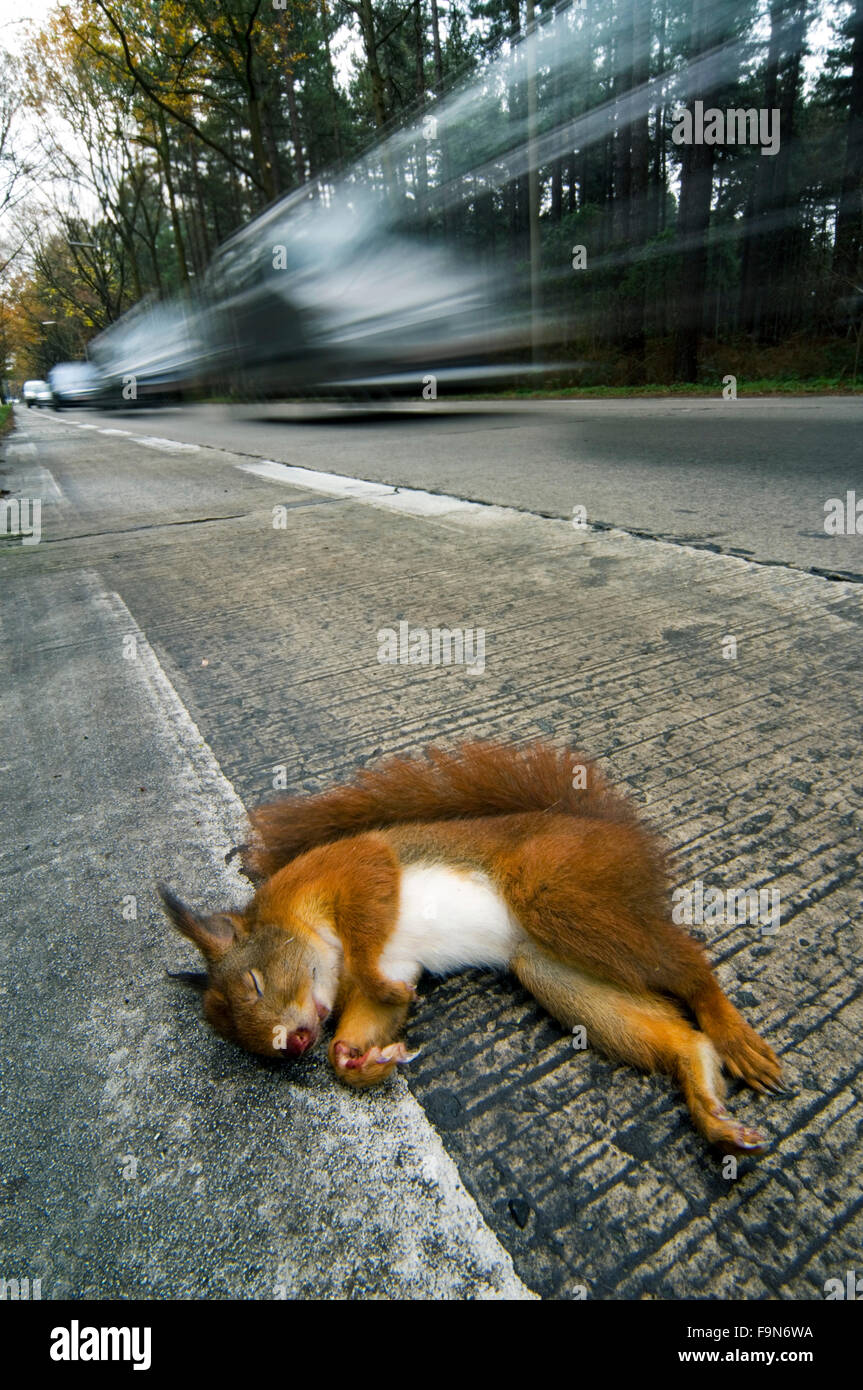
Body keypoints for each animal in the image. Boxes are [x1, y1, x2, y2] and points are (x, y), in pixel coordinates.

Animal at [159, 740, 782, 1155]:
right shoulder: (382, 969)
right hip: (552, 969)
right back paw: (711, 1105)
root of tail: (606, 830)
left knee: (690, 965)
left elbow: (368, 925)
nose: (292, 1045)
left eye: (254, 981)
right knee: (680, 1039)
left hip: (554, 891)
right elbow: (369, 1018)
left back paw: (731, 1034)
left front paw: (383, 993)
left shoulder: (354, 870)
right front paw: (359, 1058)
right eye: (246, 1045)